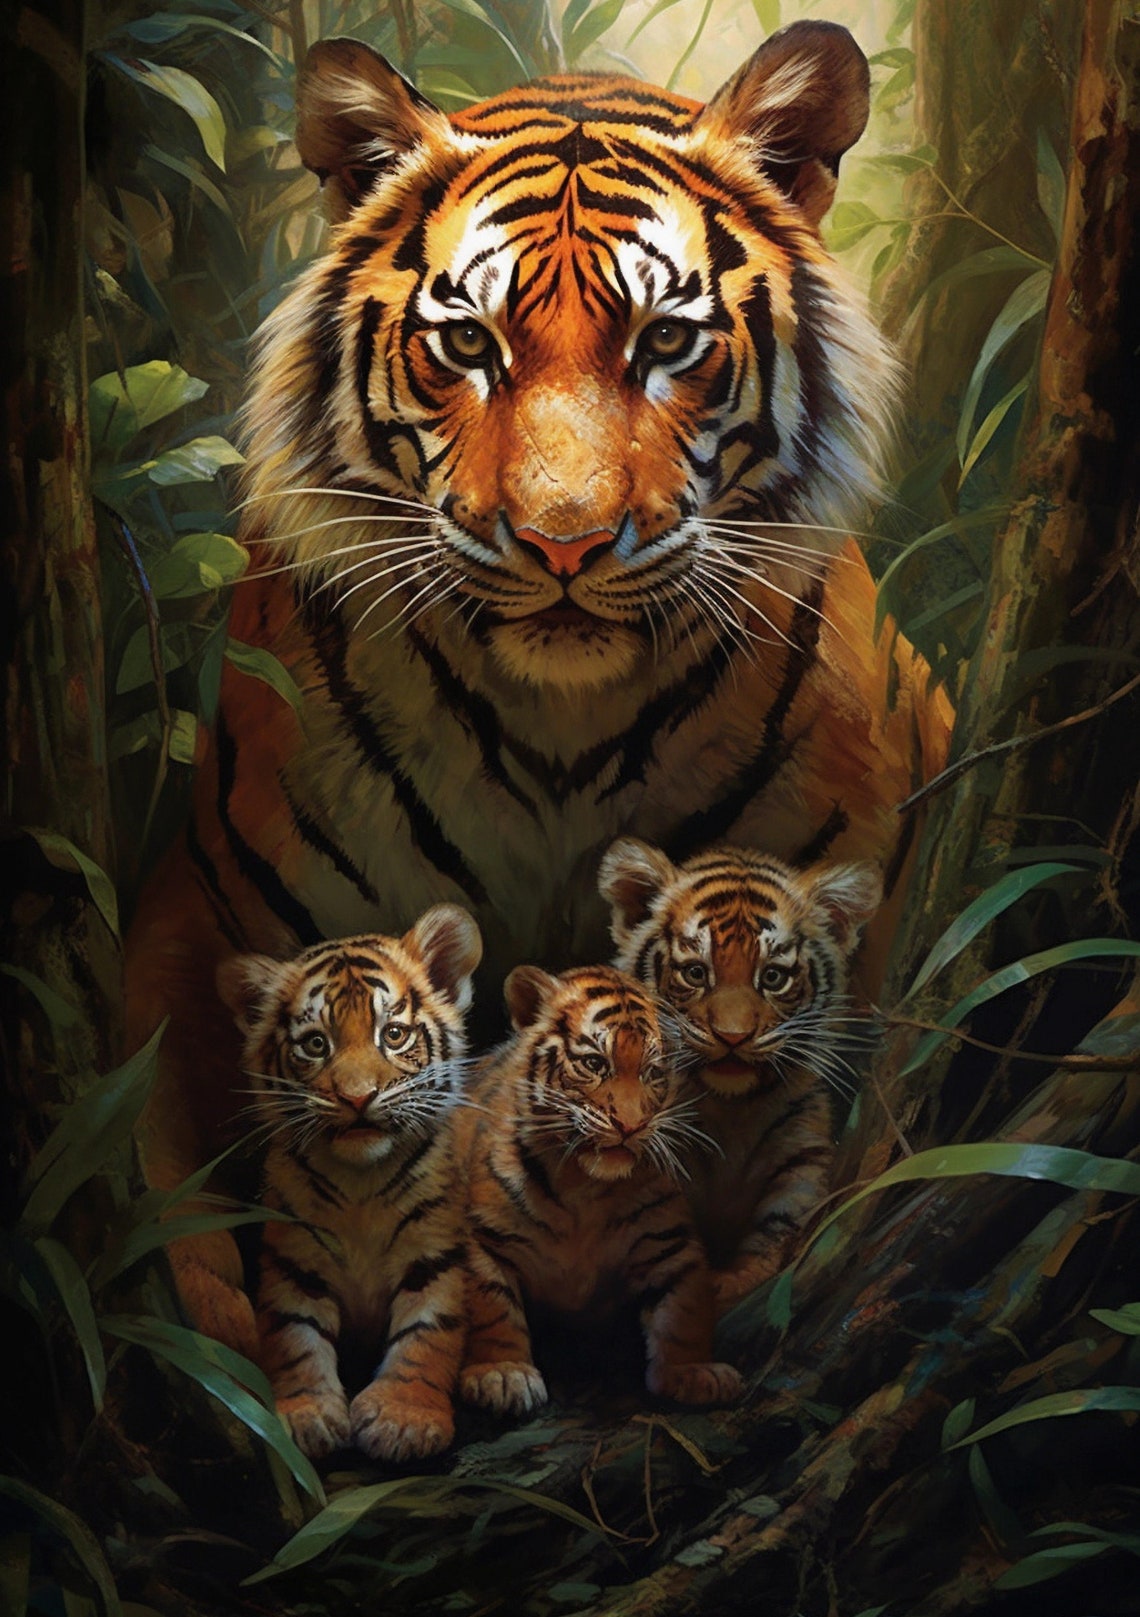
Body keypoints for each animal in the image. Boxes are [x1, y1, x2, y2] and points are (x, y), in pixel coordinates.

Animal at [215, 905, 481, 1460]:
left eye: (394, 1035)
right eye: (316, 1044)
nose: (358, 1098)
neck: (362, 1183)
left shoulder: (435, 1252)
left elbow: (427, 1333)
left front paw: (404, 1420)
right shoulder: (293, 1261)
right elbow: (295, 1339)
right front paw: (305, 1417)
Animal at [456, 963, 741, 1413]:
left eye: (652, 1073)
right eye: (594, 1063)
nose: (631, 1125)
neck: (582, 1186)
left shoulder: (671, 1244)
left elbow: (683, 1310)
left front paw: (692, 1371)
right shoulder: (485, 1240)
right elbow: (492, 1308)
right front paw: (501, 1373)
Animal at [599, 838, 881, 1311]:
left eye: (773, 976)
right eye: (696, 972)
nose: (732, 1036)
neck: (728, 1110)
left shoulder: (801, 1152)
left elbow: (781, 1221)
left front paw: (737, 1280)